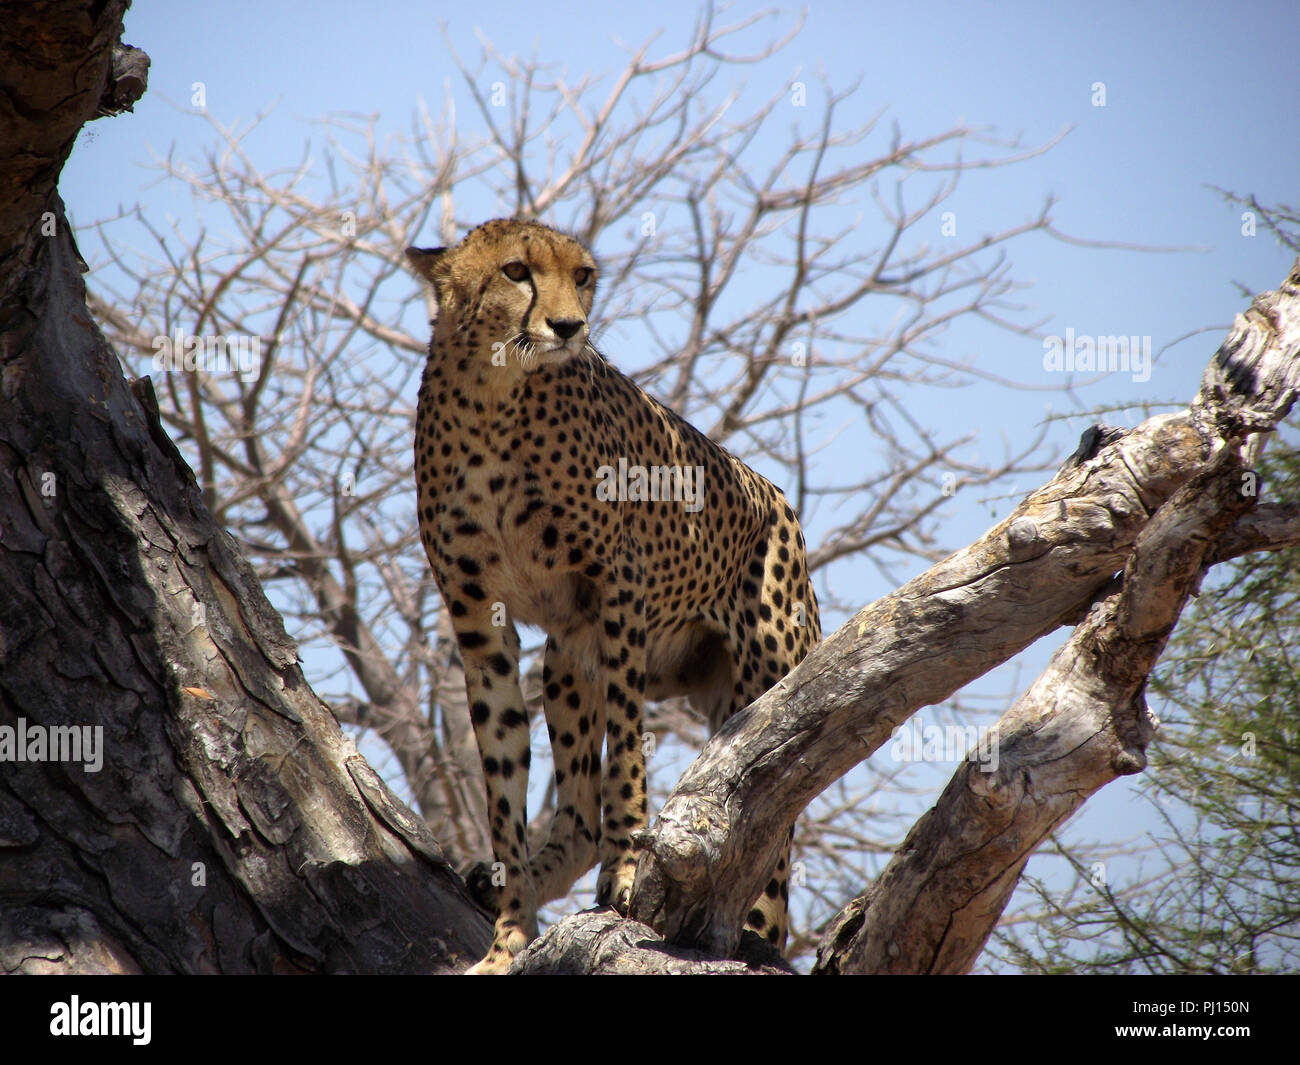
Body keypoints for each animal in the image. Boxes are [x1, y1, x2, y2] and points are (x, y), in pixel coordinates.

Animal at [408, 218, 821, 973]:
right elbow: (505, 778)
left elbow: (627, 748)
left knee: (774, 832)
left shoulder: (618, 586)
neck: (494, 392)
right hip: (567, 653)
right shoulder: (479, 618)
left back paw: (754, 935)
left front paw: (626, 869)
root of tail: (778, 498)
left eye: (585, 275)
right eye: (516, 271)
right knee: (575, 806)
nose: (570, 326)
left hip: (764, 680)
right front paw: (510, 934)